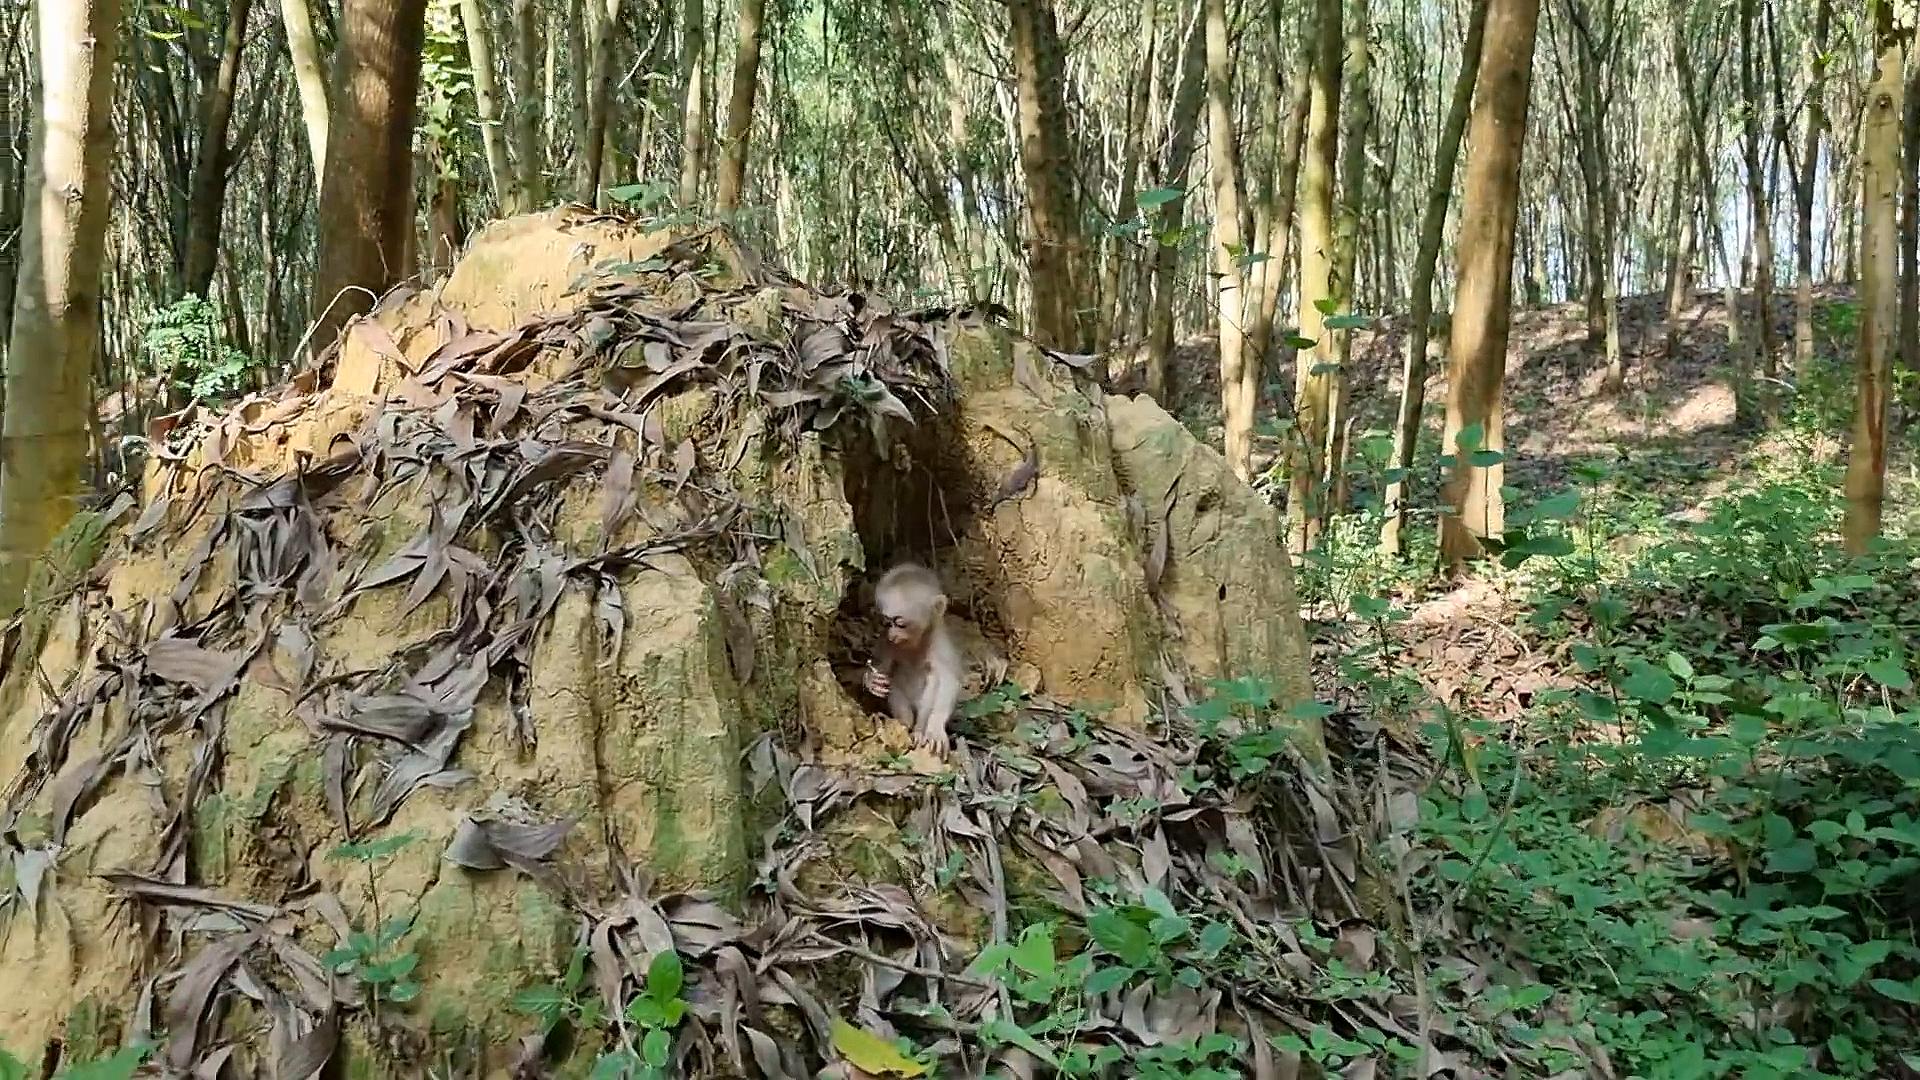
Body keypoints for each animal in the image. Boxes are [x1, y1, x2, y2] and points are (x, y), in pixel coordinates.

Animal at [862, 561, 962, 754]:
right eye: (887, 623)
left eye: (900, 624)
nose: (893, 635)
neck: (915, 642)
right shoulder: (886, 642)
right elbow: (883, 667)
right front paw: (871, 680)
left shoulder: (940, 645)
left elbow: (948, 682)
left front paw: (936, 728)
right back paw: (902, 725)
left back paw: (918, 731)